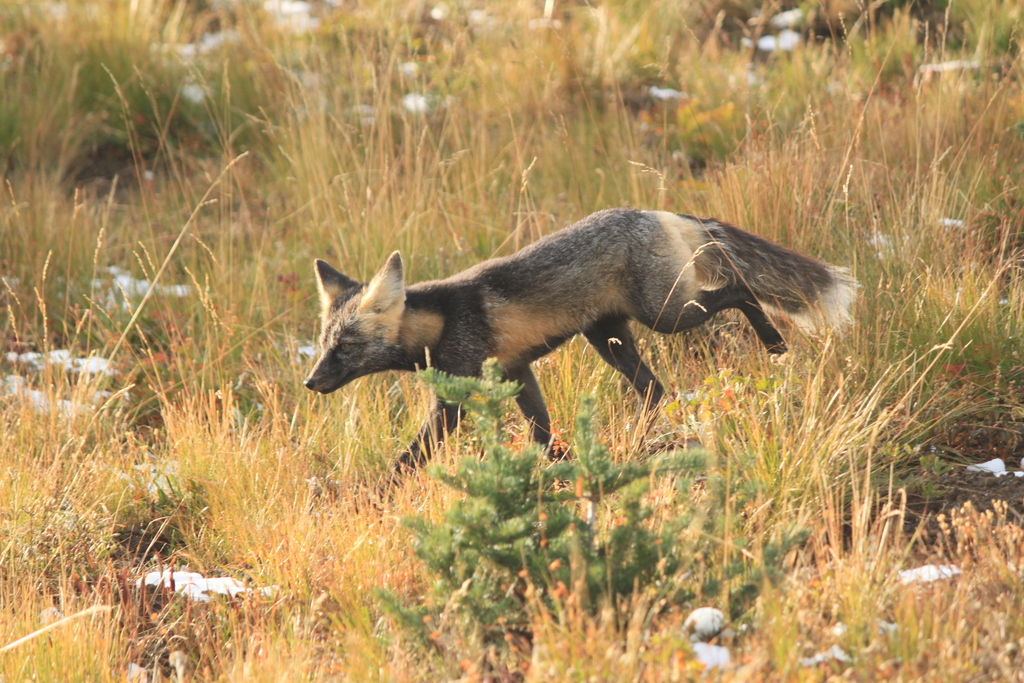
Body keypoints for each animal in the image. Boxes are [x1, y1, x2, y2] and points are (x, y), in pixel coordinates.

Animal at [304, 208, 857, 476]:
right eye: (326, 343)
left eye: (345, 348)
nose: (310, 382)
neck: (442, 320)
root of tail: (660, 212)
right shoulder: (518, 372)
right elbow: (544, 435)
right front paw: (566, 471)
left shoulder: (457, 398)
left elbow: (409, 458)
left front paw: (374, 496)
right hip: (610, 338)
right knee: (655, 391)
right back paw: (644, 445)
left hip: (669, 315)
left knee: (742, 290)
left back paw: (774, 343)